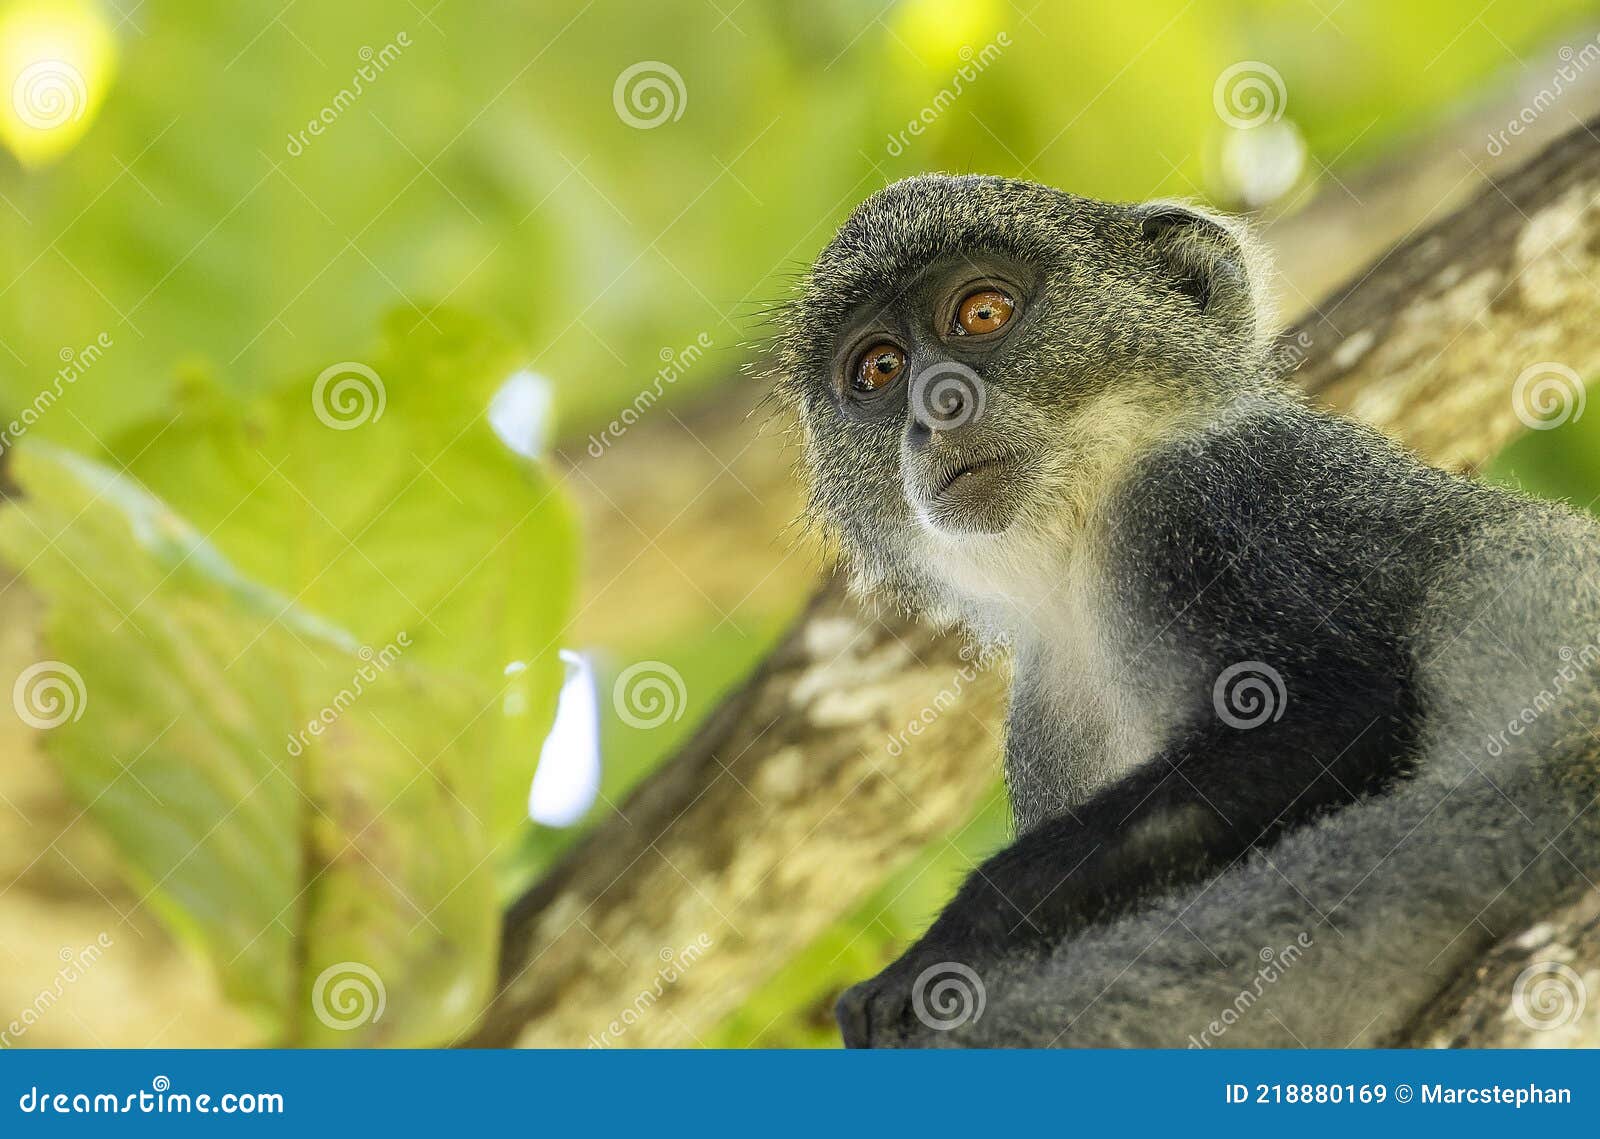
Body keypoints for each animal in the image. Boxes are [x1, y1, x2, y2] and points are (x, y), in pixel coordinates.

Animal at [772, 173, 1600, 1048]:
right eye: (880, 368)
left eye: (983, 313)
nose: (937, 407)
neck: (1079, 550)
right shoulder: (1041, 715)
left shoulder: (1204, 496)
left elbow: (1337, 719)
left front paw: (951, 940)